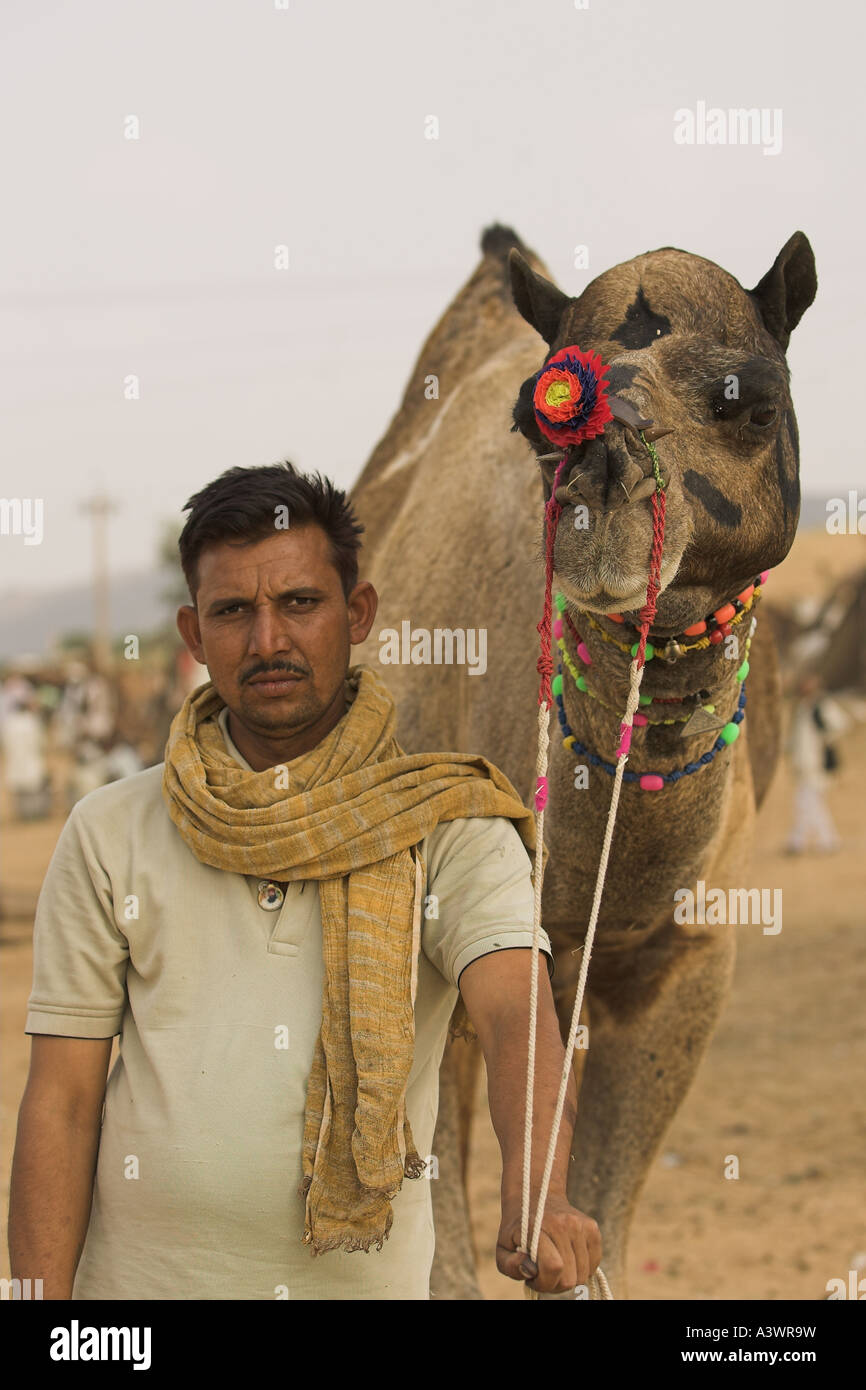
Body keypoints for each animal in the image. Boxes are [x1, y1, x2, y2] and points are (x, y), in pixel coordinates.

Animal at [350, 223, 817, 1299]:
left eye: (748, 399)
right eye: (539, 416)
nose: (600, 484)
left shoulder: (682, 962)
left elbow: (596, 1217)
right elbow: (444, 1254)